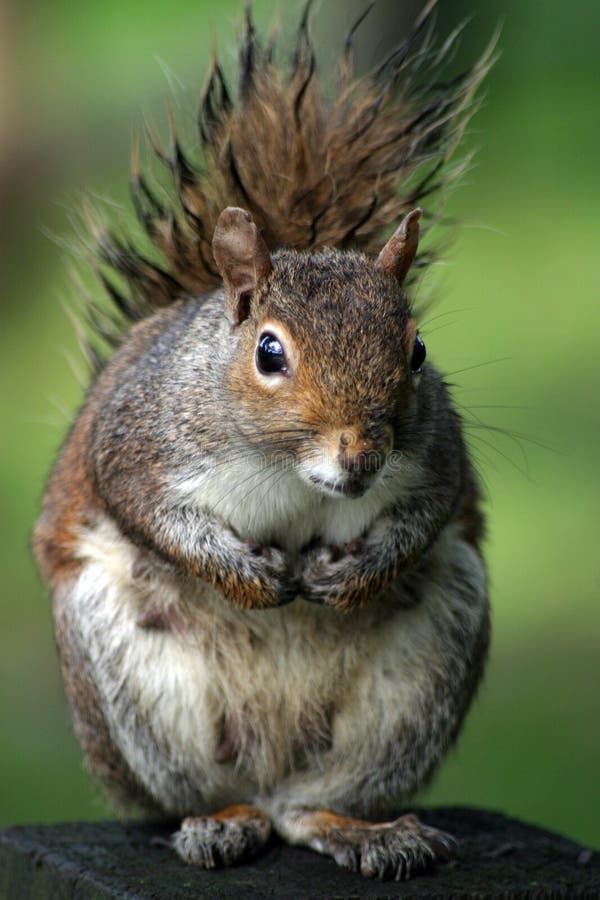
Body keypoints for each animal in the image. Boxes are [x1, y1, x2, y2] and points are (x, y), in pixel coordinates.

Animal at [33, 2, 494, 883]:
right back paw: (222, 823)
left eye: (418, 350)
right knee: (218, 794)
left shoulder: (436, 456)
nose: (361, 456)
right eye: (269, 353)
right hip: (126, 671)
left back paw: (359, 829)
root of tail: (275, 775)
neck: (291, 476)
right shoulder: (138, 438)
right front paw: (247, 578)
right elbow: (147, 508)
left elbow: (428, 511)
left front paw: (352, 576)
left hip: (428, 662)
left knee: (316, 803)